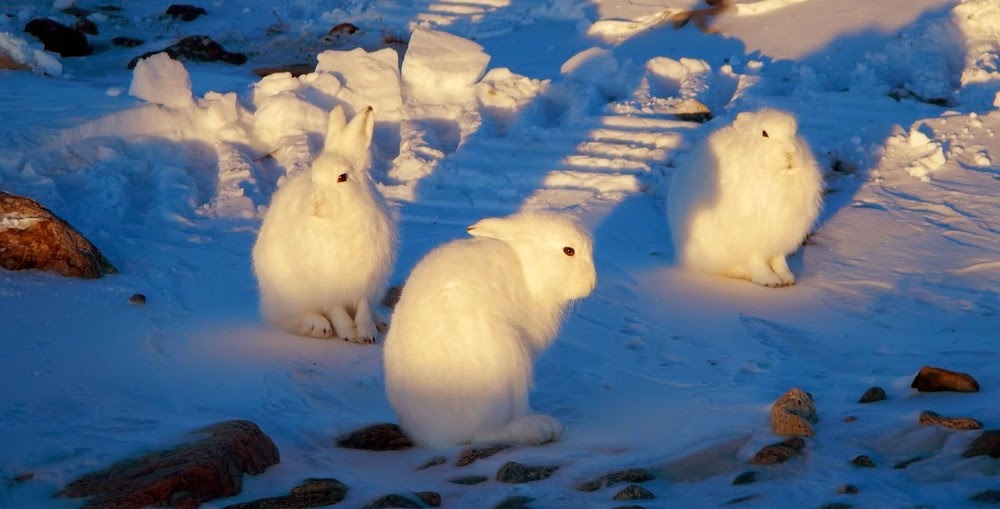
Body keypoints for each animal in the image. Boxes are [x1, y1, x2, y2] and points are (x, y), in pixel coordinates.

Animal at [252, 104, 397, 343]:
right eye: (314, 177)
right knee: (287, 318)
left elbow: (363, 307)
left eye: (342, 177)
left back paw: (382, 321)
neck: (338, 223)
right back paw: (315, 325)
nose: (315, 203)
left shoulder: (365, 281)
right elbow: (335, 310)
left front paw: (367, 334)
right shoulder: (327, 287)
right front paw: (347, 333)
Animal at [383, 211, 597, 447]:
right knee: (486, 432)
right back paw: (541, 428)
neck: (527, 268)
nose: (592, 283)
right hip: (506, 353)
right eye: (569, 251)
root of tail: (438, 436)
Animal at [667, 108, 824, 287]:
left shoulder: (779, 236)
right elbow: (756, 260)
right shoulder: (750, 240)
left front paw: (787, 277)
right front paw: (770, 280)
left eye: (795, 132)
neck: (774, 175)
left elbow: (779, 260)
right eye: (764, 133)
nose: (790, 153)